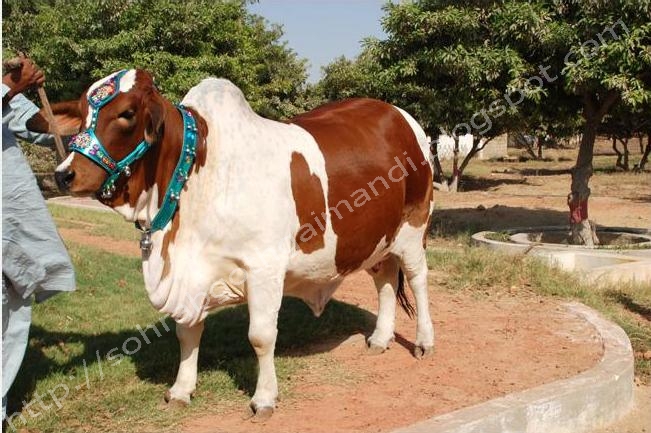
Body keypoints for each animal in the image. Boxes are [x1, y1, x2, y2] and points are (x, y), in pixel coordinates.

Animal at [46, 69, 434, 421]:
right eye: (81, 113)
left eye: (126, 113)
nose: (64, 174)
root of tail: (399, 115)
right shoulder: (194, 272)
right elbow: (187, 333)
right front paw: (181, 389)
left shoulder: (264, 268)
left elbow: (261, 336)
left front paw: (264, 398)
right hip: (378, 238)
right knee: (385, 280)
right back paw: (381, 338)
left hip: (414, 226)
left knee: (417, 281)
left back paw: (424, 341)